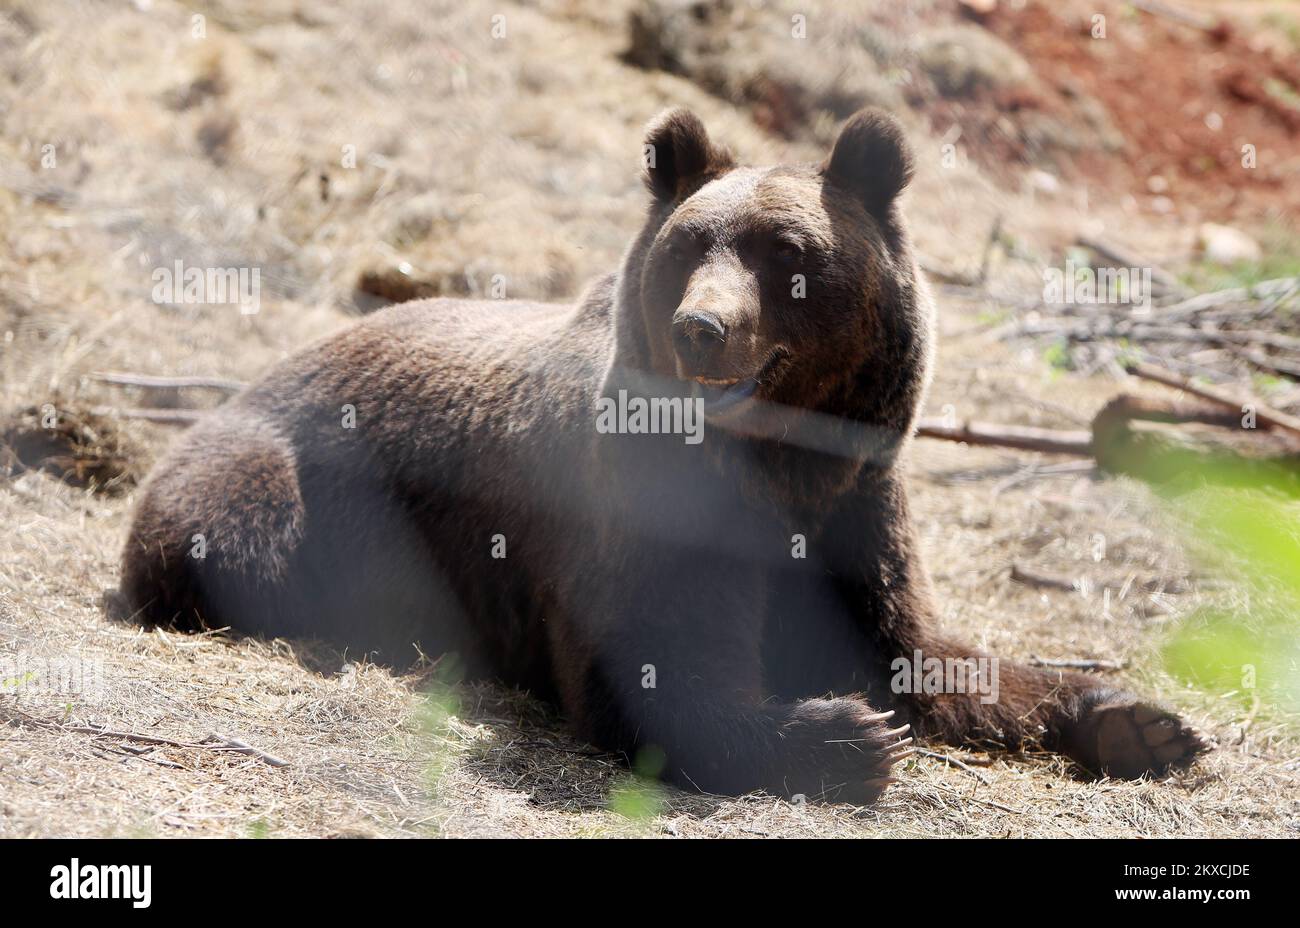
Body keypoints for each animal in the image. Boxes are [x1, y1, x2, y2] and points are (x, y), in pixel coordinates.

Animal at [120, 107, 1205, 803]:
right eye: (693, 246)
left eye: (787, 255)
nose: (701, 329)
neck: (775, 460)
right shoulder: (645, 510)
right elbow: (649, 668)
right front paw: (845, 734)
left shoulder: (858, 503)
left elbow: (928, 650)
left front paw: (1138, 718)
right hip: (280, 478)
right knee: (235, 536)